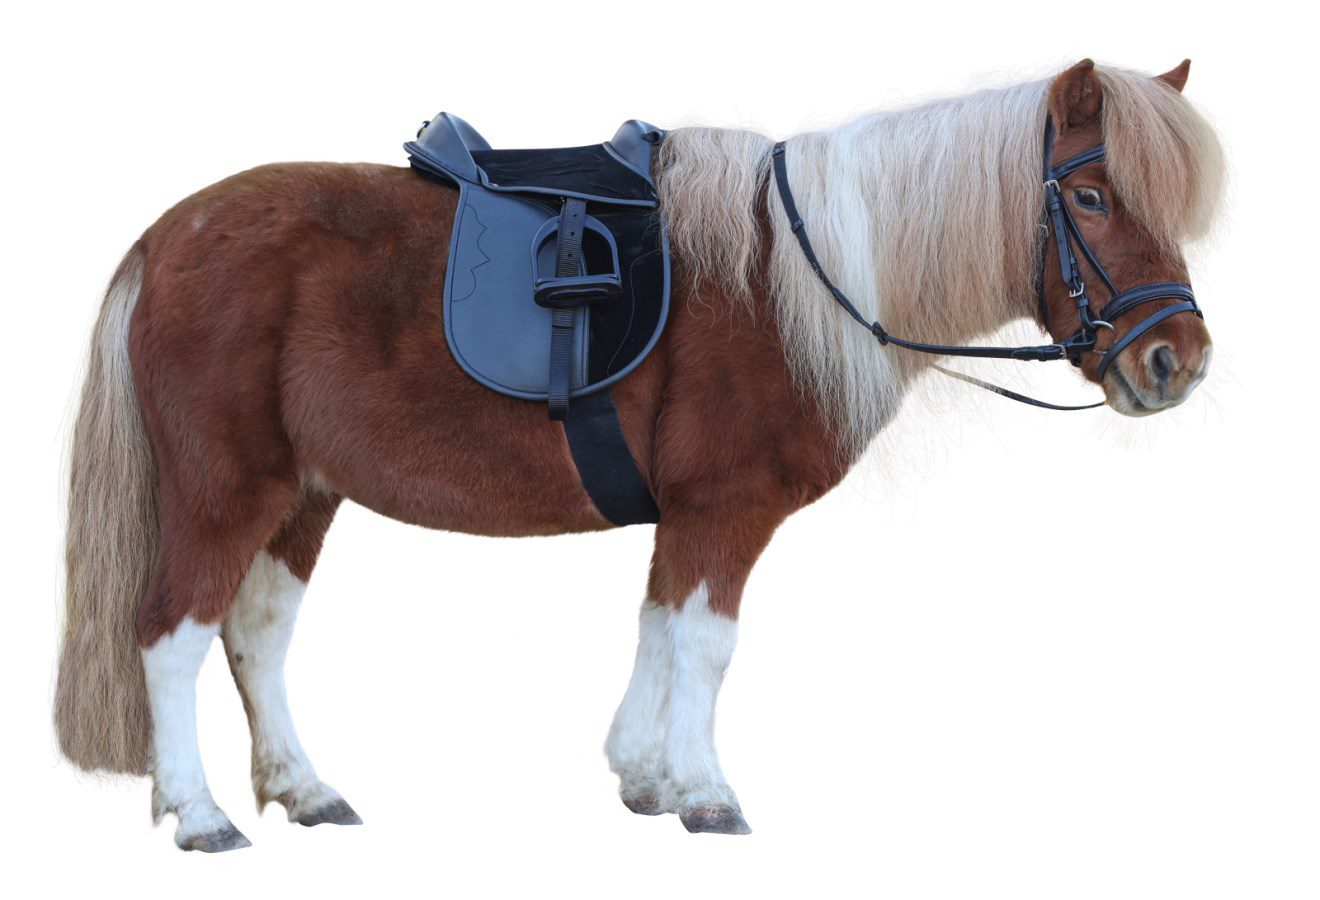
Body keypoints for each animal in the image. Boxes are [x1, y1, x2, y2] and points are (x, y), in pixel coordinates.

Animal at [55, 58, 1225, 851]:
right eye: (1090, 197)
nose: (1177, 360)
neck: (794, 277)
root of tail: (165, 236)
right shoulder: (726, 506)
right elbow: (705, 643)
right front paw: (705, 793)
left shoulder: (689, 515)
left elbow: (661, 626)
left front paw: (643, 776)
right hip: (224, 491)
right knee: (171, 634)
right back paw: (200, 810)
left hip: (303, 494)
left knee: (256, 634)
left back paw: (303, 788)